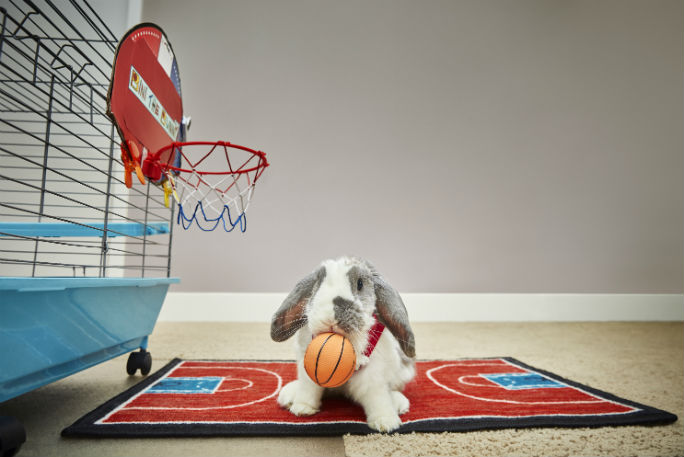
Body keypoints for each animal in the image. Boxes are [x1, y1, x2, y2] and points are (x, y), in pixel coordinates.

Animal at [270, 256, 416, 433]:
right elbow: (309, 388)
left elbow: (377, 397)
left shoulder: (374, 373)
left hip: (402, 373)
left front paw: (385, 422)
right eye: (318, 283)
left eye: (360, 283)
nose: (330, 317)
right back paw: (289, 394)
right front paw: (302, 408)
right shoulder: (308, 363)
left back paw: (398, 403)